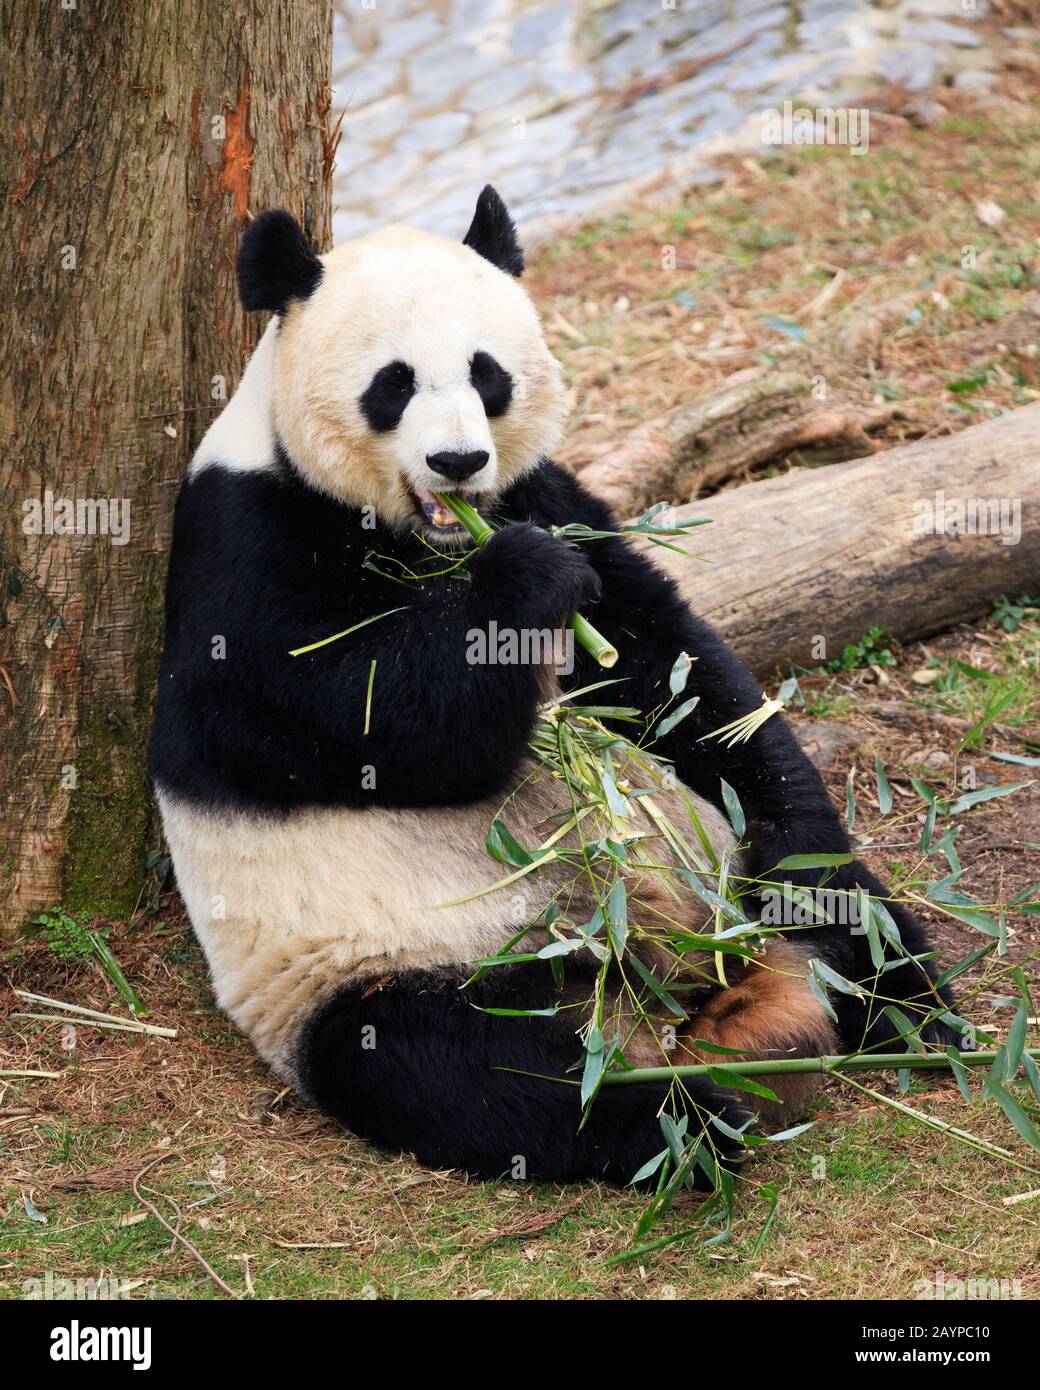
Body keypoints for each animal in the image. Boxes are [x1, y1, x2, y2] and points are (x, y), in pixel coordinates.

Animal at [150, 186, 955, 1185]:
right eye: (393, 383)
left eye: (486, 373)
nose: (459, 463)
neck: (432, 540)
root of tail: (671, 995)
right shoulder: (242, 543)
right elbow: (360, 720)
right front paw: (522, 583)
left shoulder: (546, 493)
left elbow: (669, 671)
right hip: (378, 971)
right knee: (468, 1069)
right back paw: (686, 1121)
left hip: (722, 886)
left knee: (854, 924)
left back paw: (913, 1011)